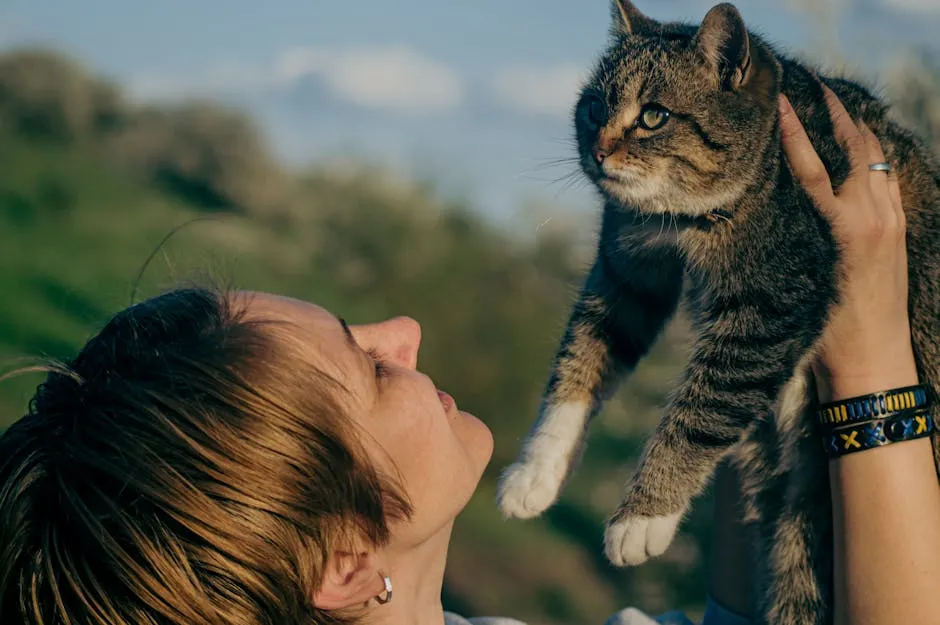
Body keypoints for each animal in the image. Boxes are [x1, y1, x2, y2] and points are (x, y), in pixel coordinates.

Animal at [496, 2, 936, 620]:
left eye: (653, 115)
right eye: (594, 107)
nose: (598, 150)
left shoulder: (776, 302)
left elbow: (703, 407)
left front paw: (642, 518)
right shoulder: (625, 277)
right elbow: (579, 362)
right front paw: (534, 472)